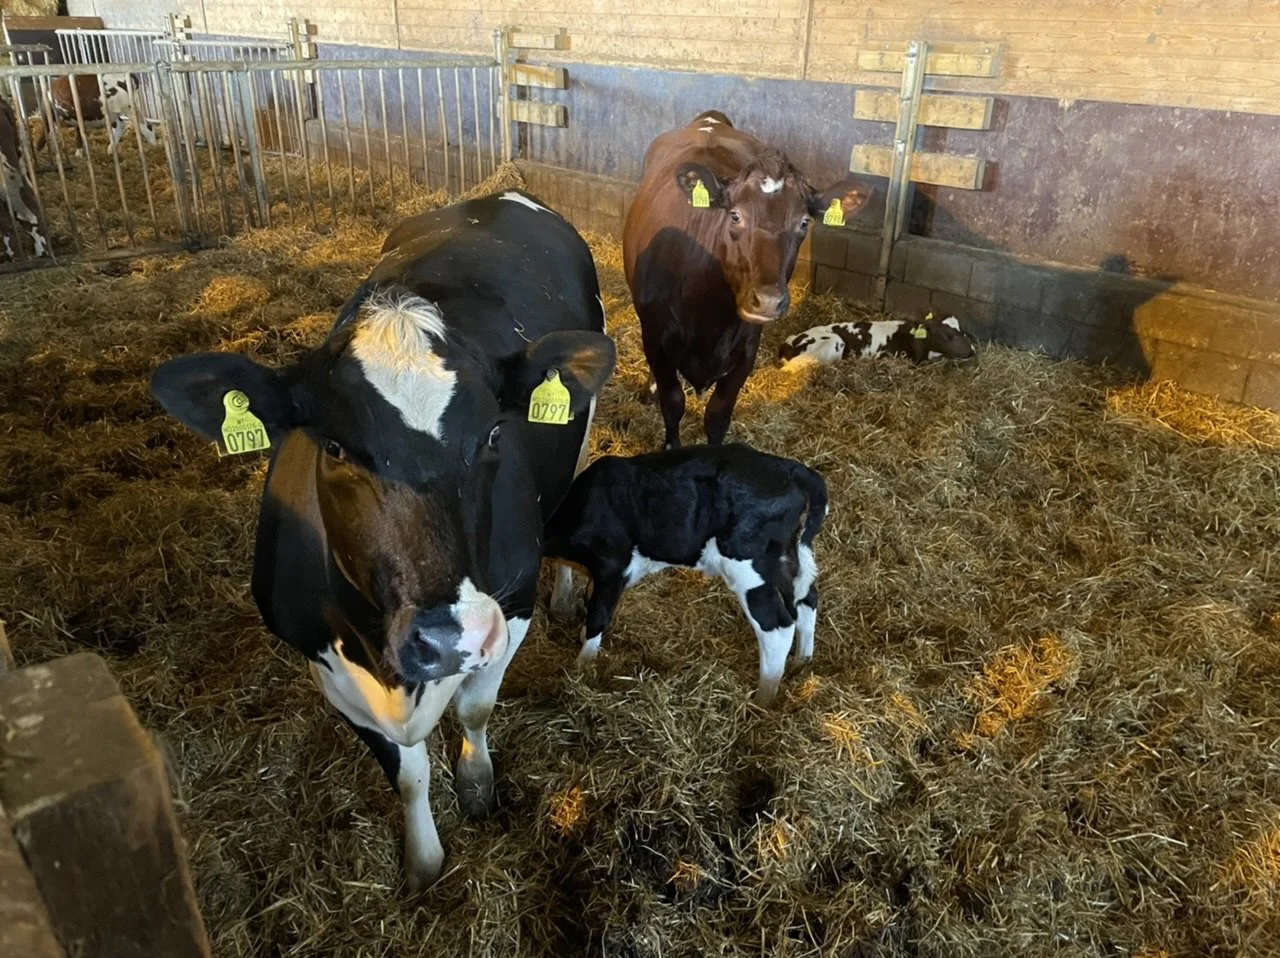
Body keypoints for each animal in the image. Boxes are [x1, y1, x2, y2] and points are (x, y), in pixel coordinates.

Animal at [149, 190, 616, 890]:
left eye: (494, 436)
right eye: (335, 446)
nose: (447, 637)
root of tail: (495, 196)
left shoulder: (509, 610)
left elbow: (475, 710)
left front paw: (476, 784)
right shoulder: (326, 666)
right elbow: (406, 772)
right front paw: (424, 862)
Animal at [542, 443, 828, 707]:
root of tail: (790, 468)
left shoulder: (613, 566)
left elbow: (598, 616)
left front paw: (581, 669)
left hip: (748, 569)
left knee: (777, 626)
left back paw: (763, 699)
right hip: (788, 557)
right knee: (807, 598)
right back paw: (802, 663)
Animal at [623, 110, 871, 449]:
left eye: (804, 222)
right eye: (735, 215)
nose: (767, 301)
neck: (708, 314)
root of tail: (710, 119)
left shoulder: (746, 351)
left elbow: (717, 415)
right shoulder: (656, 337)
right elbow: (672, 403)